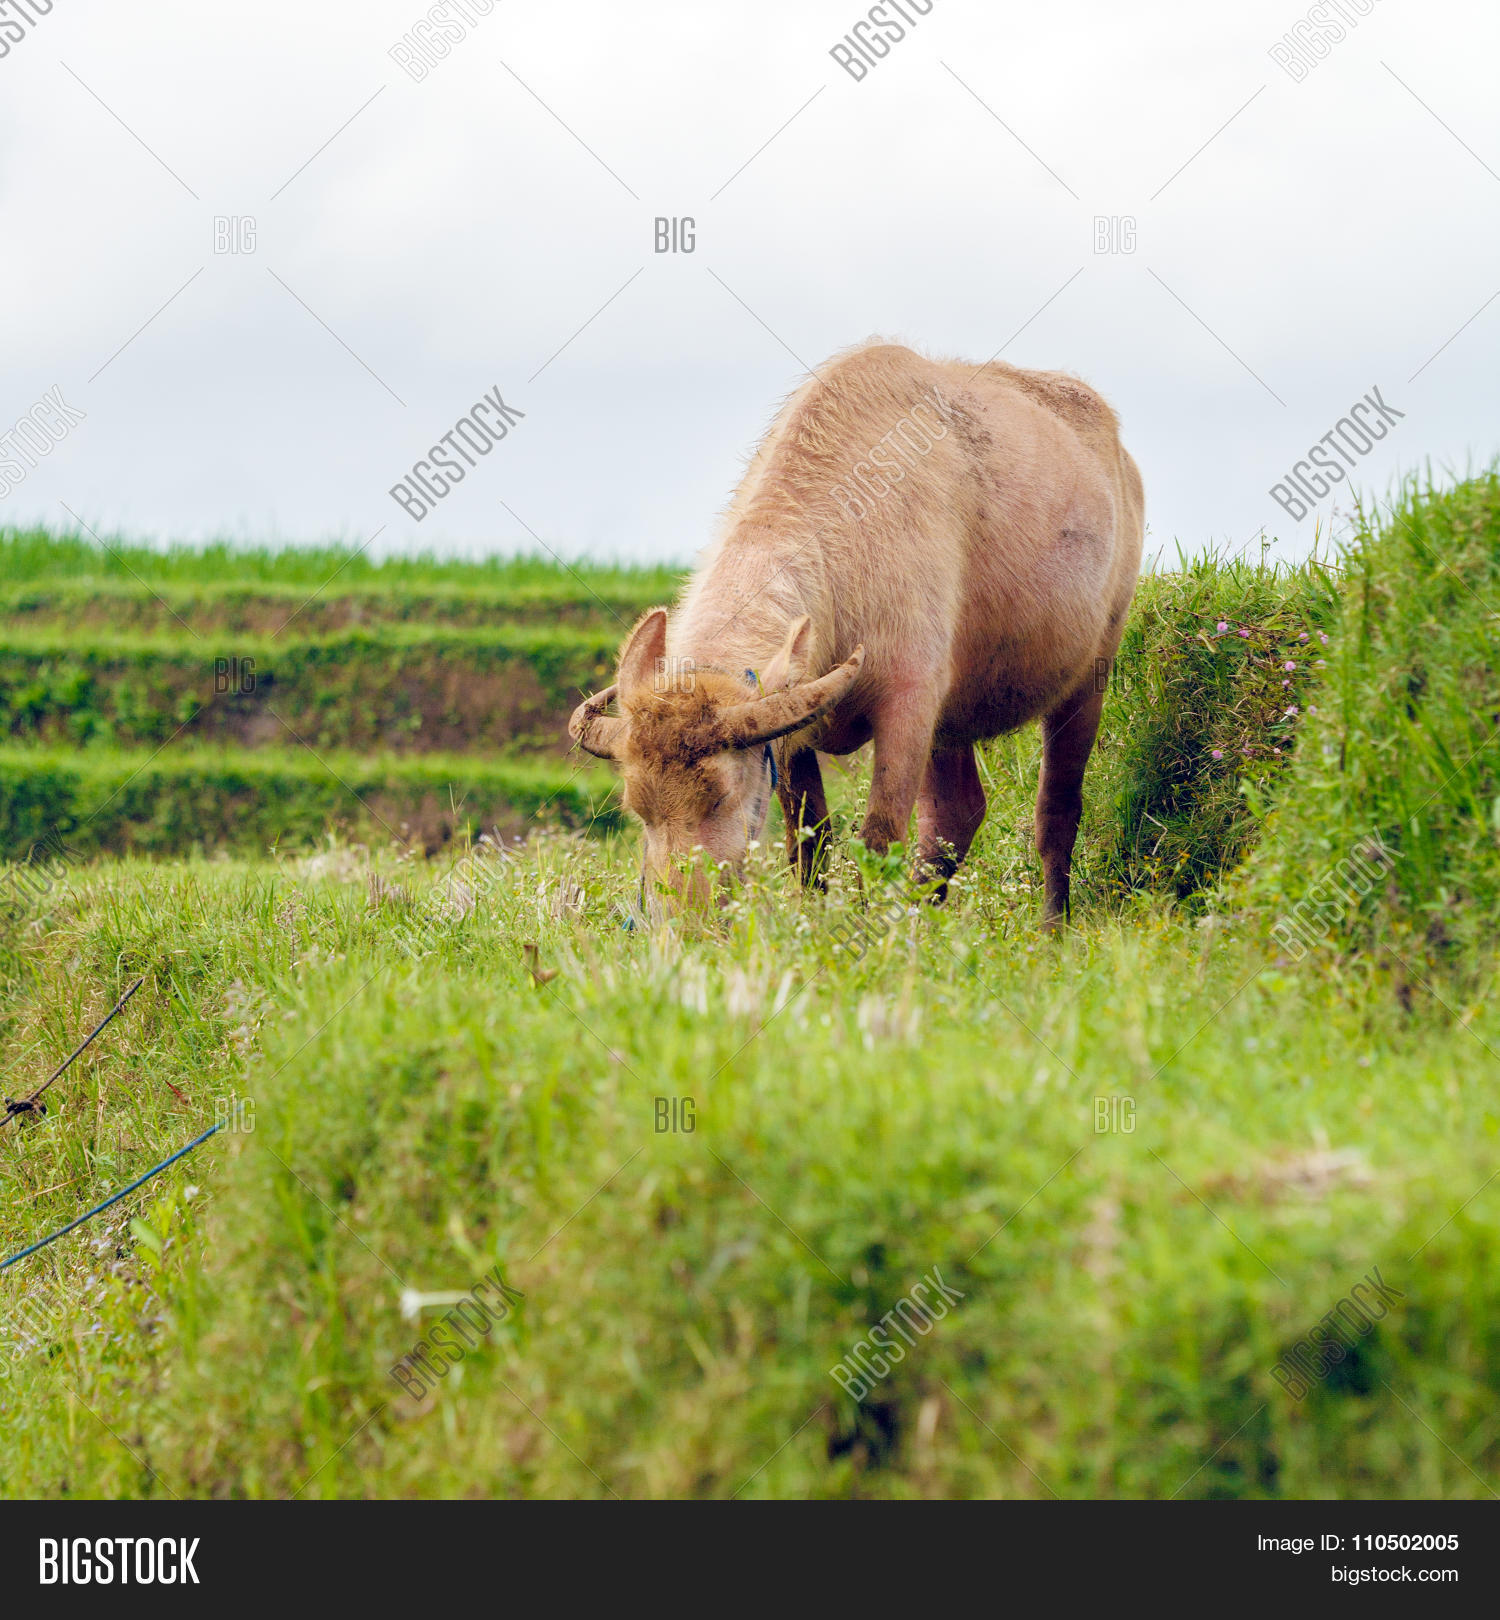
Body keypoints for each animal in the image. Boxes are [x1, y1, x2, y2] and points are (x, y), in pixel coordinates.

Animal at [569, 341, 1144, 922]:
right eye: (637, 809)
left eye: (722, 796)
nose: (686, 919)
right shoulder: (794, 735)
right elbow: (809, 841)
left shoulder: (909, 705)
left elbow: (879, 837)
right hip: (950, 722)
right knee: (956, 814)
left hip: (1088, 676)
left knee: (1056, 811)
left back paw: (1051, 924)